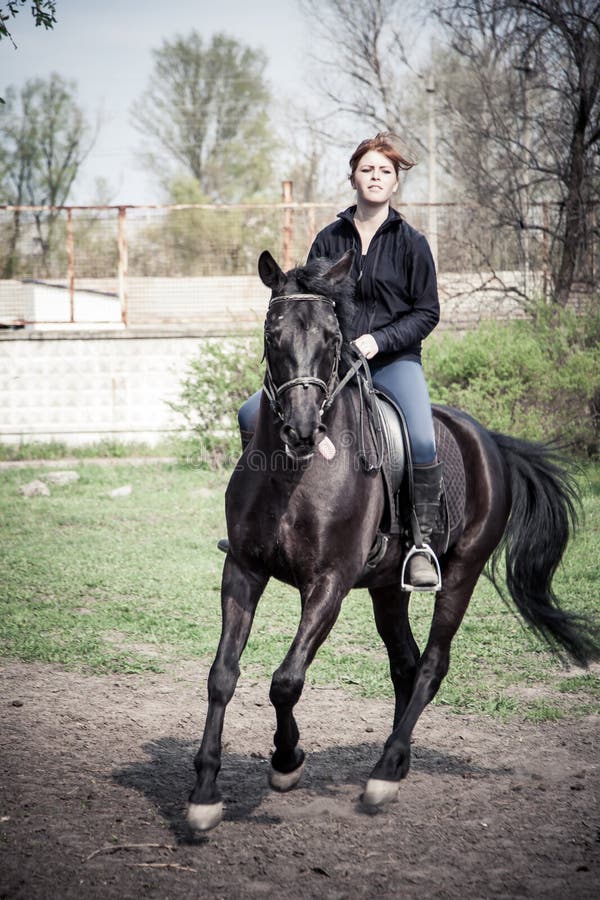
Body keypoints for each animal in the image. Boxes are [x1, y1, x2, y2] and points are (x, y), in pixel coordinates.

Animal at [187, 249, 598, 832]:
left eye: (333, 337)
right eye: (272, 333)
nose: (302, 431)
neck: (294, 474)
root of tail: (489, 441)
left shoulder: (329, 584)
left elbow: (286, 680)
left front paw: (287, 762)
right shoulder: (243, 570)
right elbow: (222, 674)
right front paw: (204, 793)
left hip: (462, 573)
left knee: (430, 665)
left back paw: (384, 773)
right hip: (385, 587)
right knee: (404, 663)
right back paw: (395, 763)